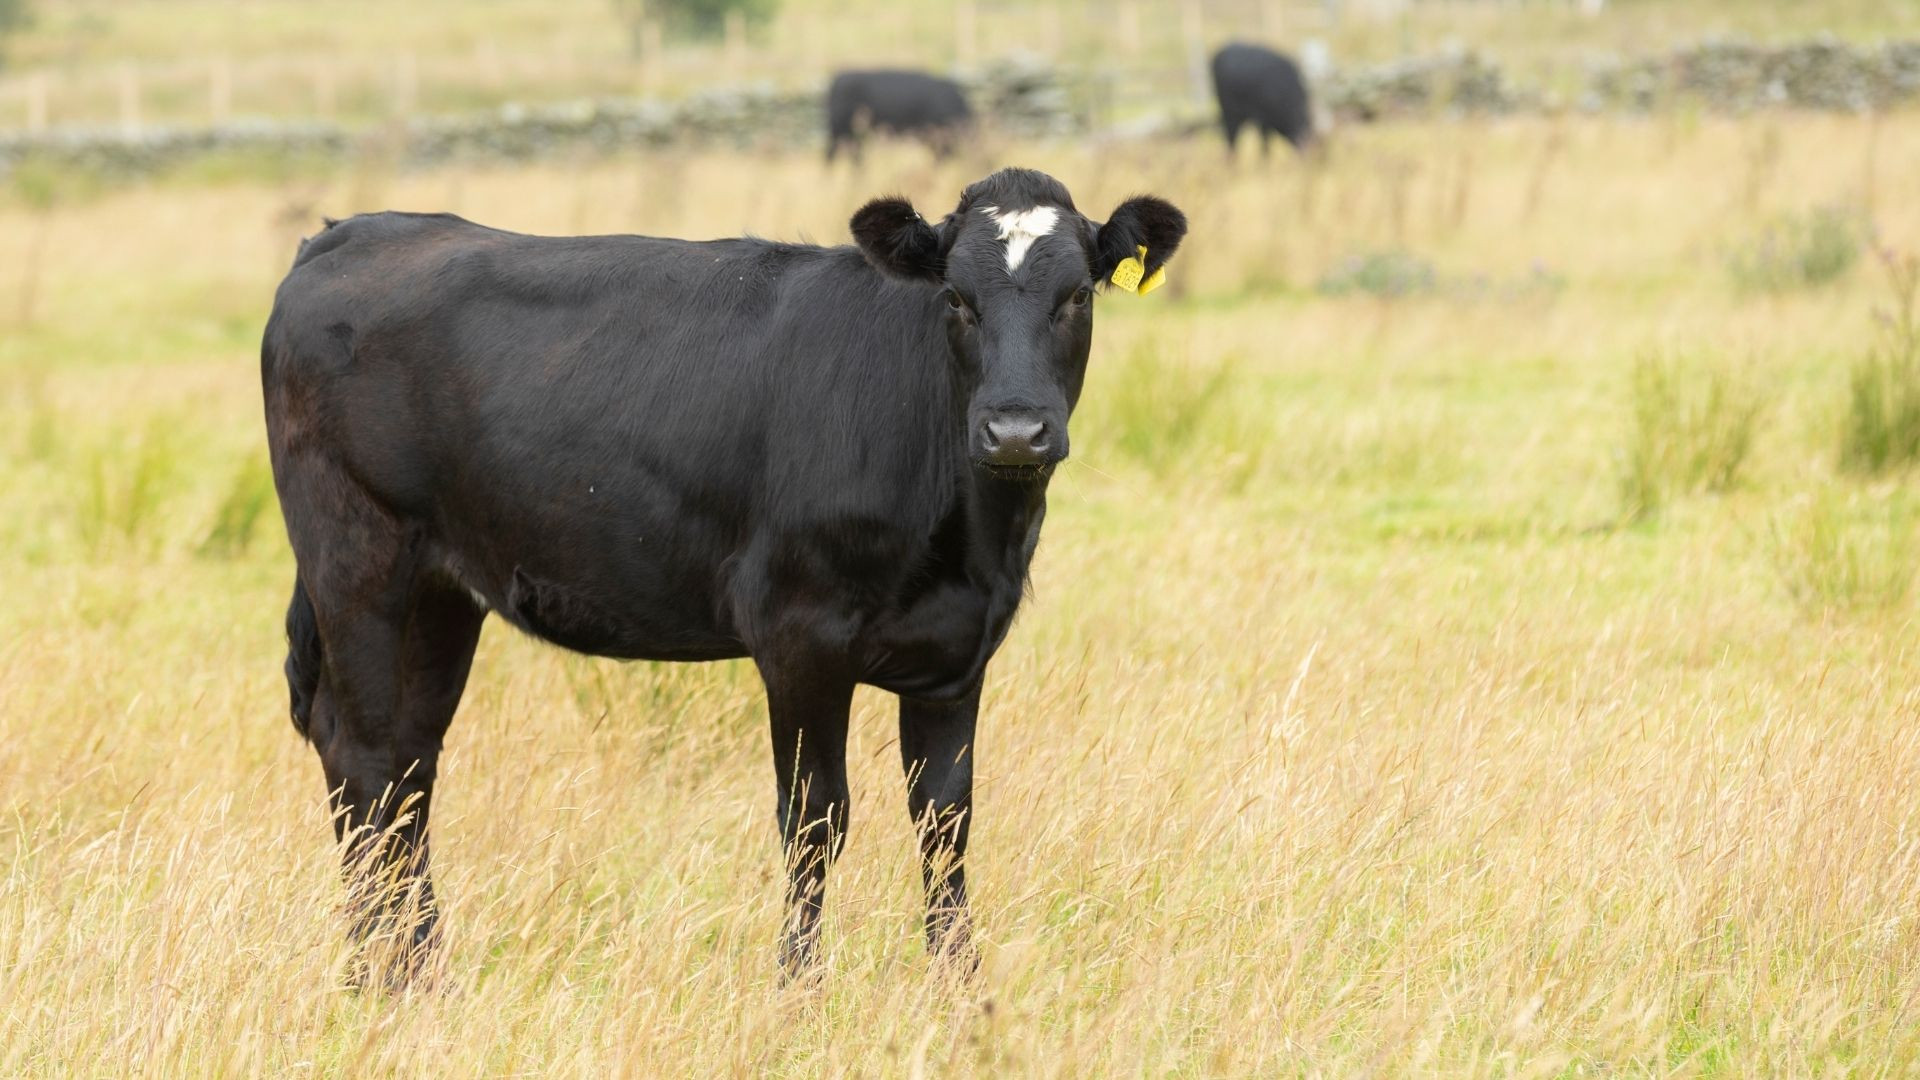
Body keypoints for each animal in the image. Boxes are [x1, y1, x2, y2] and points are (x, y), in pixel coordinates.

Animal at [261, 167, 1186, 981]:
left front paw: (960, 989)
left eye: (1079, 296)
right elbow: (815, 819)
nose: (1015, 430)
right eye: (956, 298)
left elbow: (944, 820)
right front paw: (800, 989)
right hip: (357, 557)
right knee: (366, 759)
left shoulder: (956, 655)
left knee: (411, 766)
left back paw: (422, 970)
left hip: (443, 591)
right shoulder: (799, 634)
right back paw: (378, 978)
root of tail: (347, 232)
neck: (970, 540)